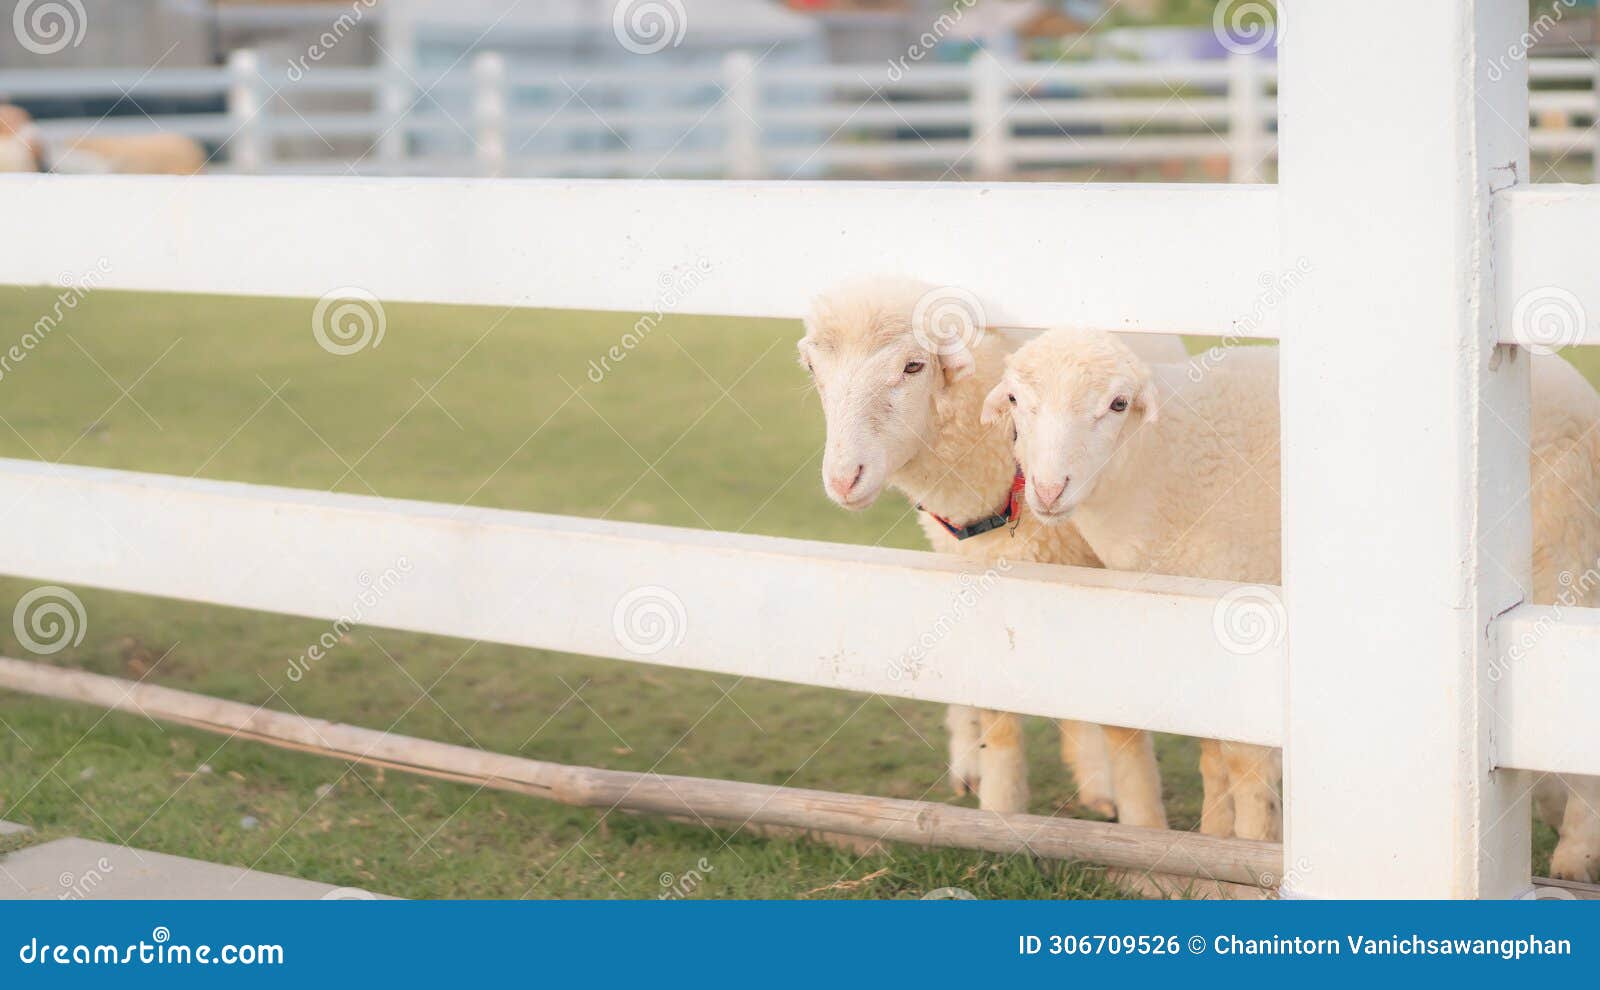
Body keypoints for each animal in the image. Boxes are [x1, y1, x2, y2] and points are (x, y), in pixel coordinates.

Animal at [797, 276, 1185, 825]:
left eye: (913, 366)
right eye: (814, 369)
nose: (842, 479)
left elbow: (1113, 714)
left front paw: (1130, 809)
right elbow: (995, 711)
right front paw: (999, 808)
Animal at [988, 328, 1600, 878]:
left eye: (1117, 404)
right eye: (1016, 401)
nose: (1047, 490)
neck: (1157, 463)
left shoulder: (1237, 593)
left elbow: (1242, 758)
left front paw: (1251, 846)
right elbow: (1213, 750)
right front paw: (1214, 844)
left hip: (1559, 555)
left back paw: (1574, 857)